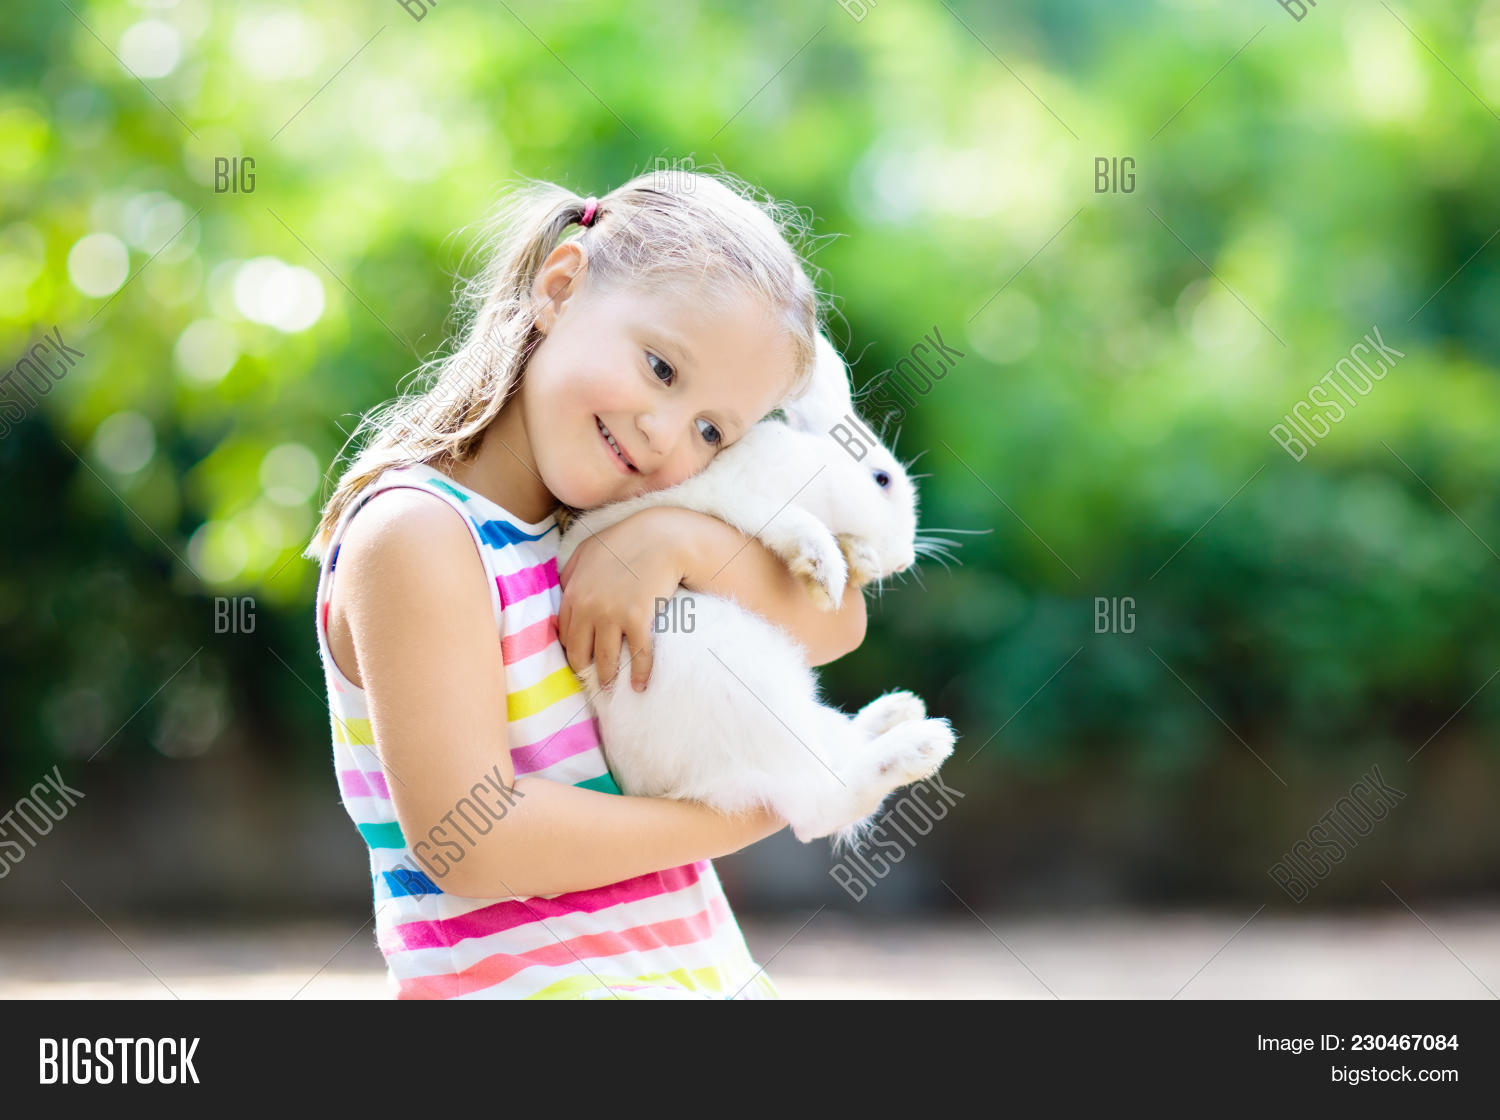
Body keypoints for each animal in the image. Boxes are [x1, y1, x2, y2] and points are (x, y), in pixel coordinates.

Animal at [555, 333, 956, 847]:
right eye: (882, 479)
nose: (903, 560)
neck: (813, 472)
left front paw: (857, 561)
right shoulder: (739, 500)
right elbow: (794, 525)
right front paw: (828, 575)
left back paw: (899, 710)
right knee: (818, 810)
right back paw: (923, 743)